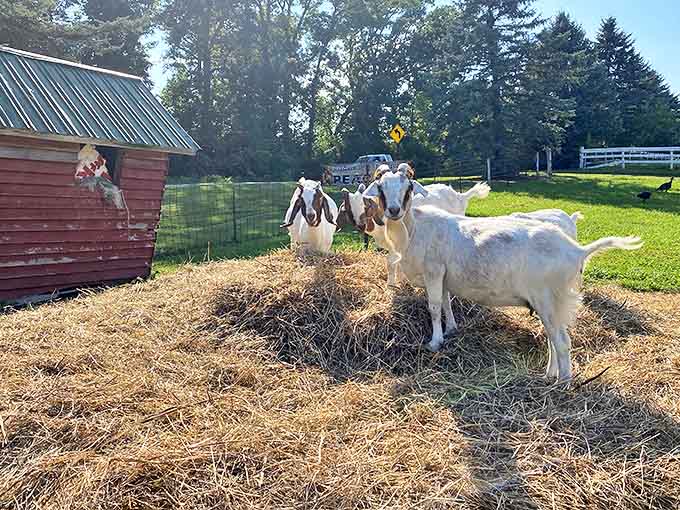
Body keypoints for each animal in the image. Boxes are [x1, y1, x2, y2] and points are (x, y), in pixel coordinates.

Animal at [363, 166, 642, 383]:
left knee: (562, 341)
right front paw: (451, 328)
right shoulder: (443, 276)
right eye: (380, 188)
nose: (394, 210)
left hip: (549, 298)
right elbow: (446, 302)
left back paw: (563, 383)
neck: (414, 229)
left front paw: (434, 342)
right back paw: (549, 374)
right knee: (553, 338)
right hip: (552, 303)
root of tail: (577, 250)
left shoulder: (433, 271)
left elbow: (433, 307)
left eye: (408, 187)